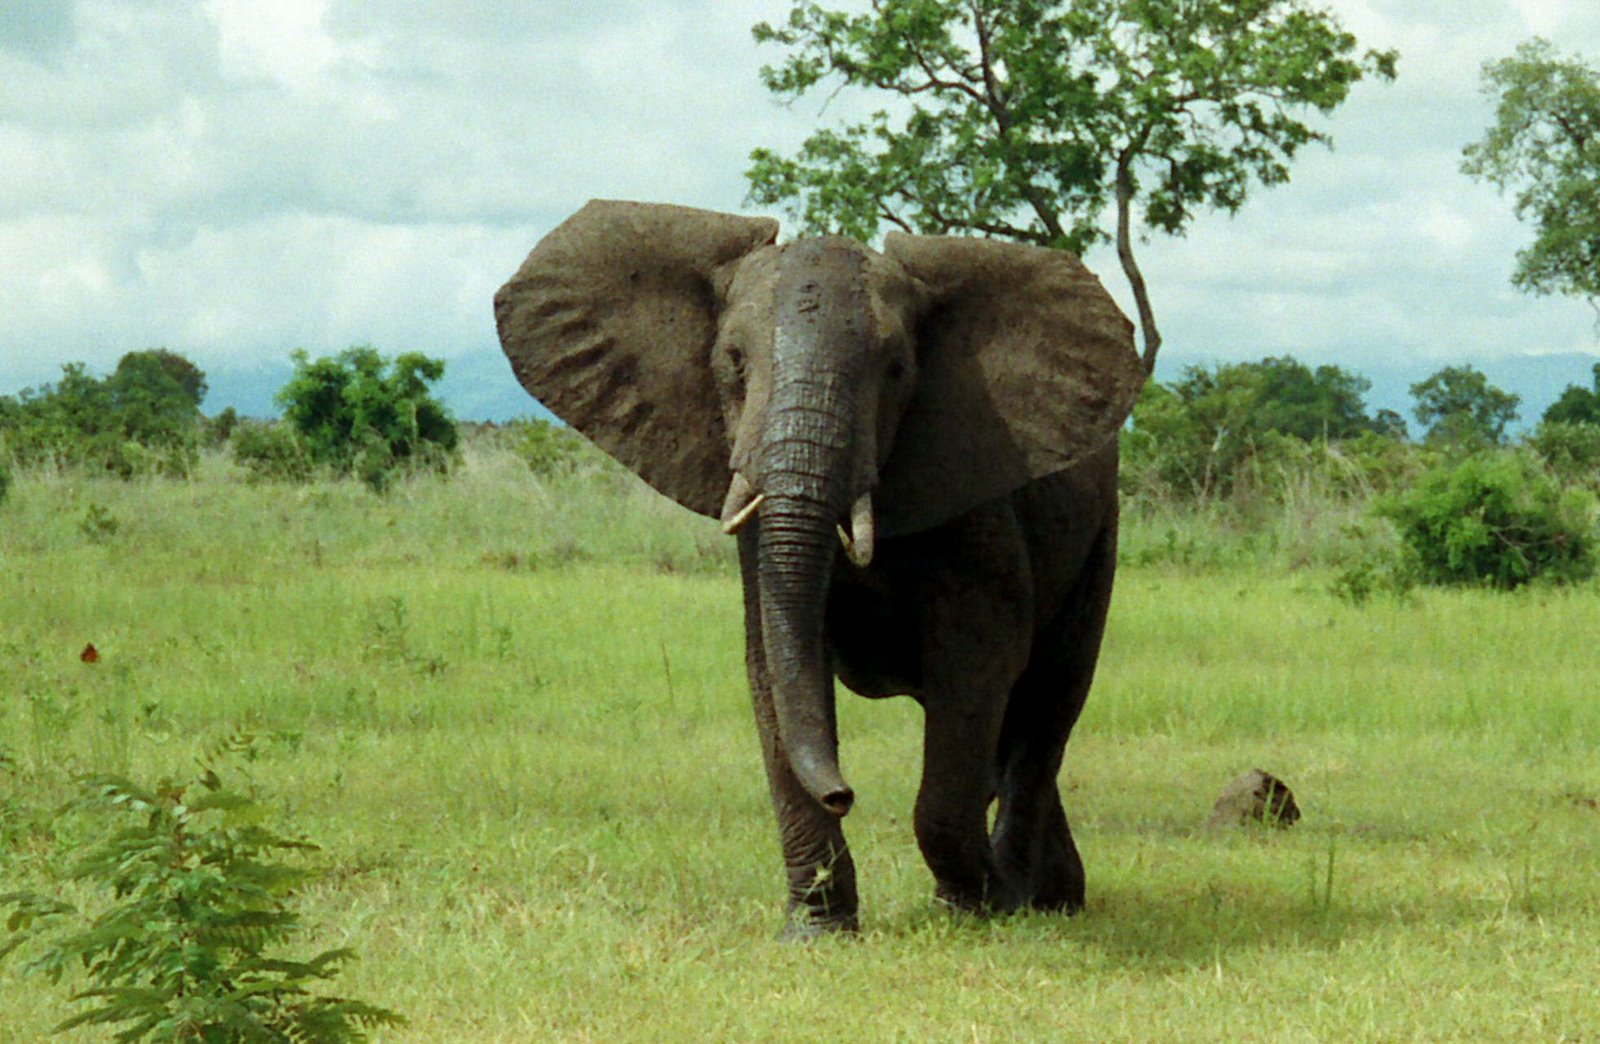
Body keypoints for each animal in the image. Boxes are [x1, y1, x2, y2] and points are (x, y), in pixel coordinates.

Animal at [494, 200, 1145, 935]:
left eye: (897, 369)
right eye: (733, 361)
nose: (843, 793)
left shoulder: (973, 491)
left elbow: (978, 655)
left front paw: (978, 909)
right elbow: (772, 662)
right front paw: (816, 931)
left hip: (1102, 531)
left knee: (1047, 702)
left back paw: (1037, 900)